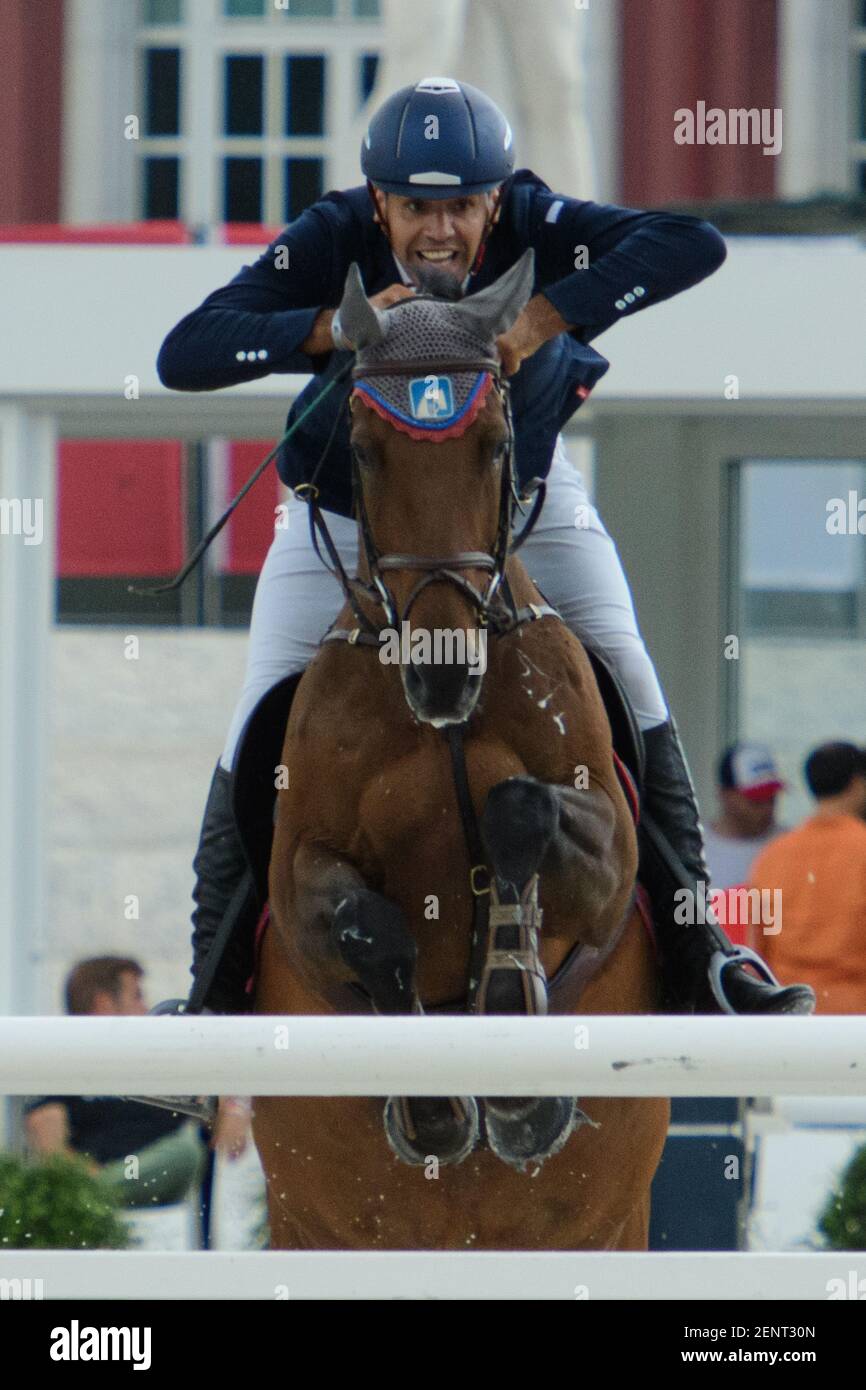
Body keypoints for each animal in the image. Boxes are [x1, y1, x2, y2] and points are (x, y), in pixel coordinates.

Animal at [251, 251, 670, 1250]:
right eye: (363, 449)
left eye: (492, 441)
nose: (442, 676)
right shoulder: (299, 880)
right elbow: (367, 926)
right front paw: (436, 1100)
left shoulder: (606, 854)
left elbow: (522, 811)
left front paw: (513, 1028)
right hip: (309, 1224)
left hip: (606, 1226)